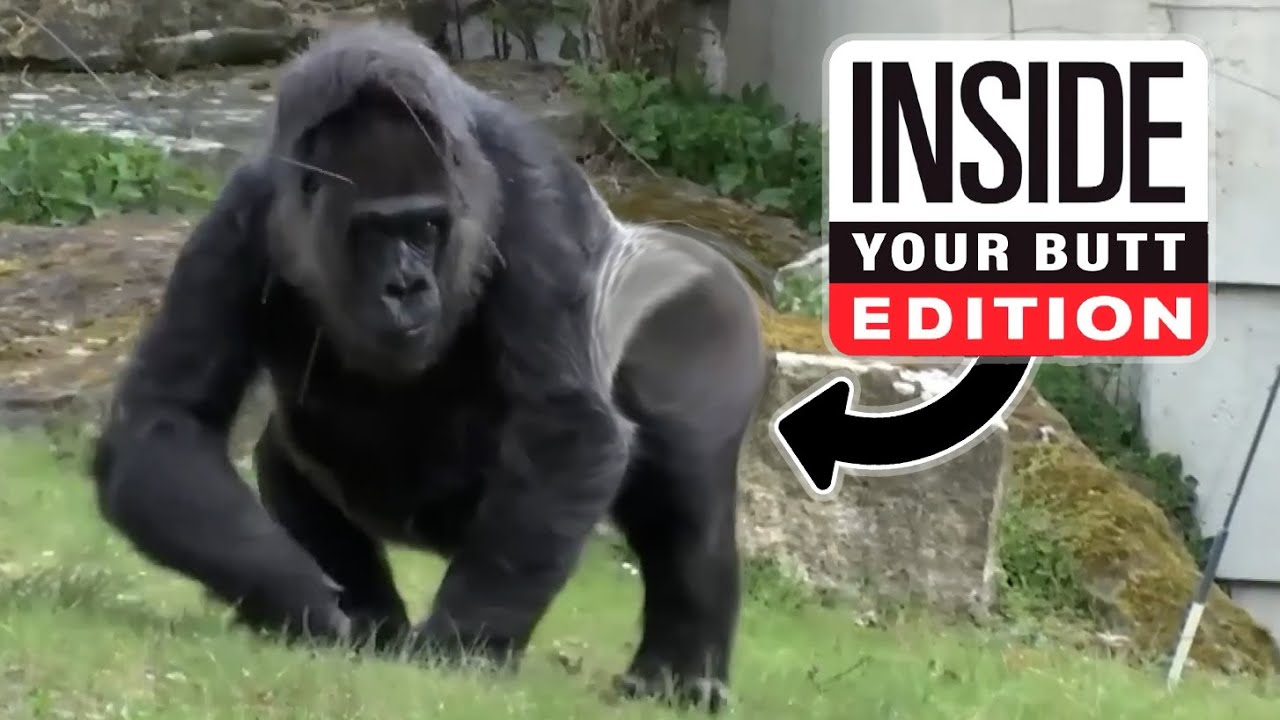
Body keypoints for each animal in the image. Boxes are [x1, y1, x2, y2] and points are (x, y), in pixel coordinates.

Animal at [88, 21, 766, 713]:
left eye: (427, 228)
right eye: (374, 231)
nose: (406, 287)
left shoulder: (531, 195)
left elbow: (566, 426)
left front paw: (462, 645)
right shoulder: (239, 221)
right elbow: (167, 419)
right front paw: (294, 598)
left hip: (707, 306)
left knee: (684, 495)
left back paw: (677, 674)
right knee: (284, 459)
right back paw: (375, 624)